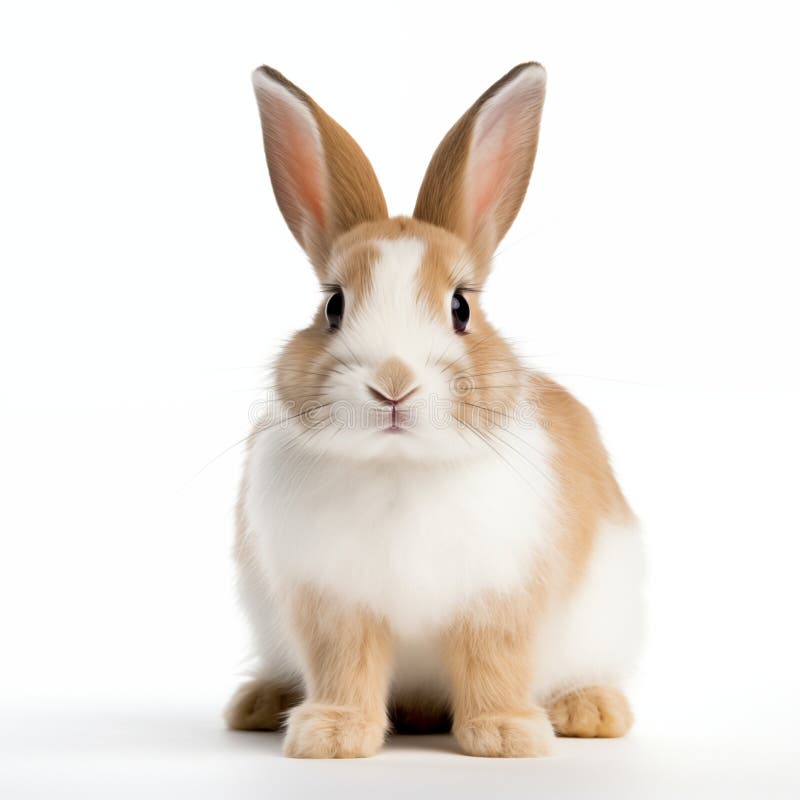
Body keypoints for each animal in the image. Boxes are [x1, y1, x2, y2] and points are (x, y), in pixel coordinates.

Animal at [225, 62, 644, 759]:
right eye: (333, 306)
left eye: (461, 307)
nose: (394, 384)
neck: (400, 468)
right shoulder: (334, 606)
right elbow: (346, 666)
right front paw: (332, 736)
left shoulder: (499, 603)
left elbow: (494, 664)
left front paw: (506, 736)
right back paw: (258, 704)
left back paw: (590, 712)